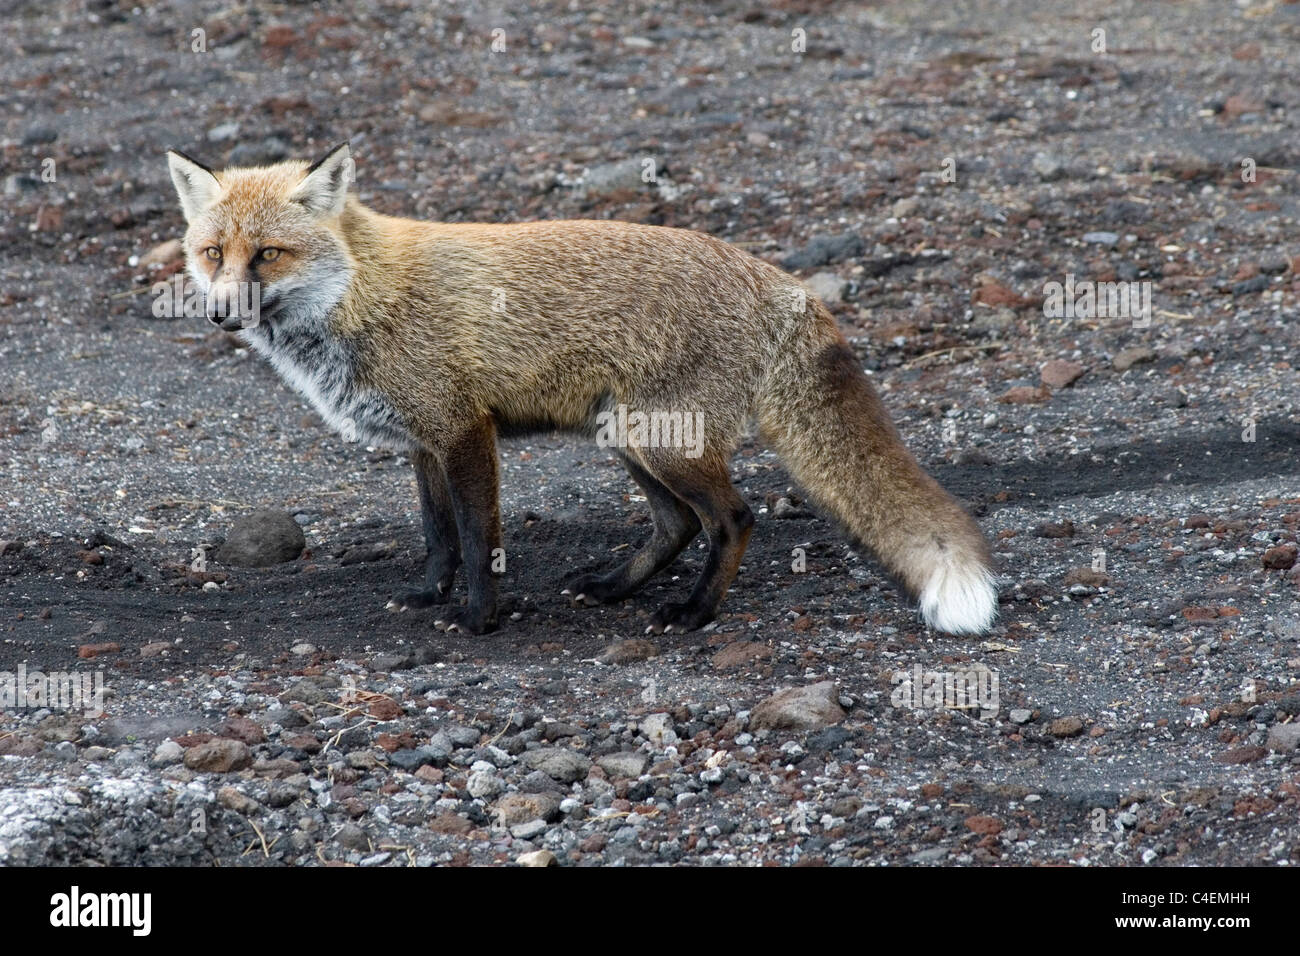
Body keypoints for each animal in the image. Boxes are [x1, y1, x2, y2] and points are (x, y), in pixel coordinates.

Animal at [165, 141, 998, 637]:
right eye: (212, 255)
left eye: (268, 255)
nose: (219, 312)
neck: (362, 294)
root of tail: (777, 280)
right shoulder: (422, 441)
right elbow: (437, 535)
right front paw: (430, 597)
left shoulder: (464, 431)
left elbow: (479, 541)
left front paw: (480, 619)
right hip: (629, 439)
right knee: (677, 524)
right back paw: (615, 588)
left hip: (661, 441)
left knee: (732, 519)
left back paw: (694, 611)